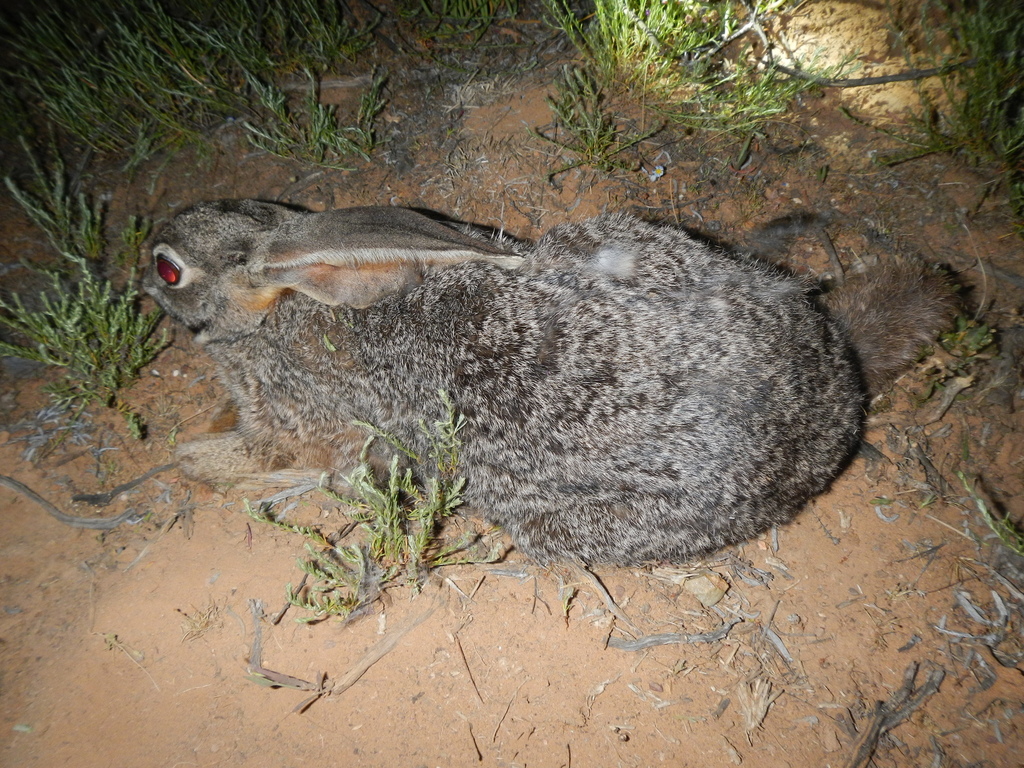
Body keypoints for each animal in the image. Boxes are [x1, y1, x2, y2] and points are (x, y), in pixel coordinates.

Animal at [144, 200, 956, 565]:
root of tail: (835, 406)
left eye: (167, 269)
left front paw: (201, 462)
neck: (276, 313)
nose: (140, 269)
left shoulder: (299, 427)